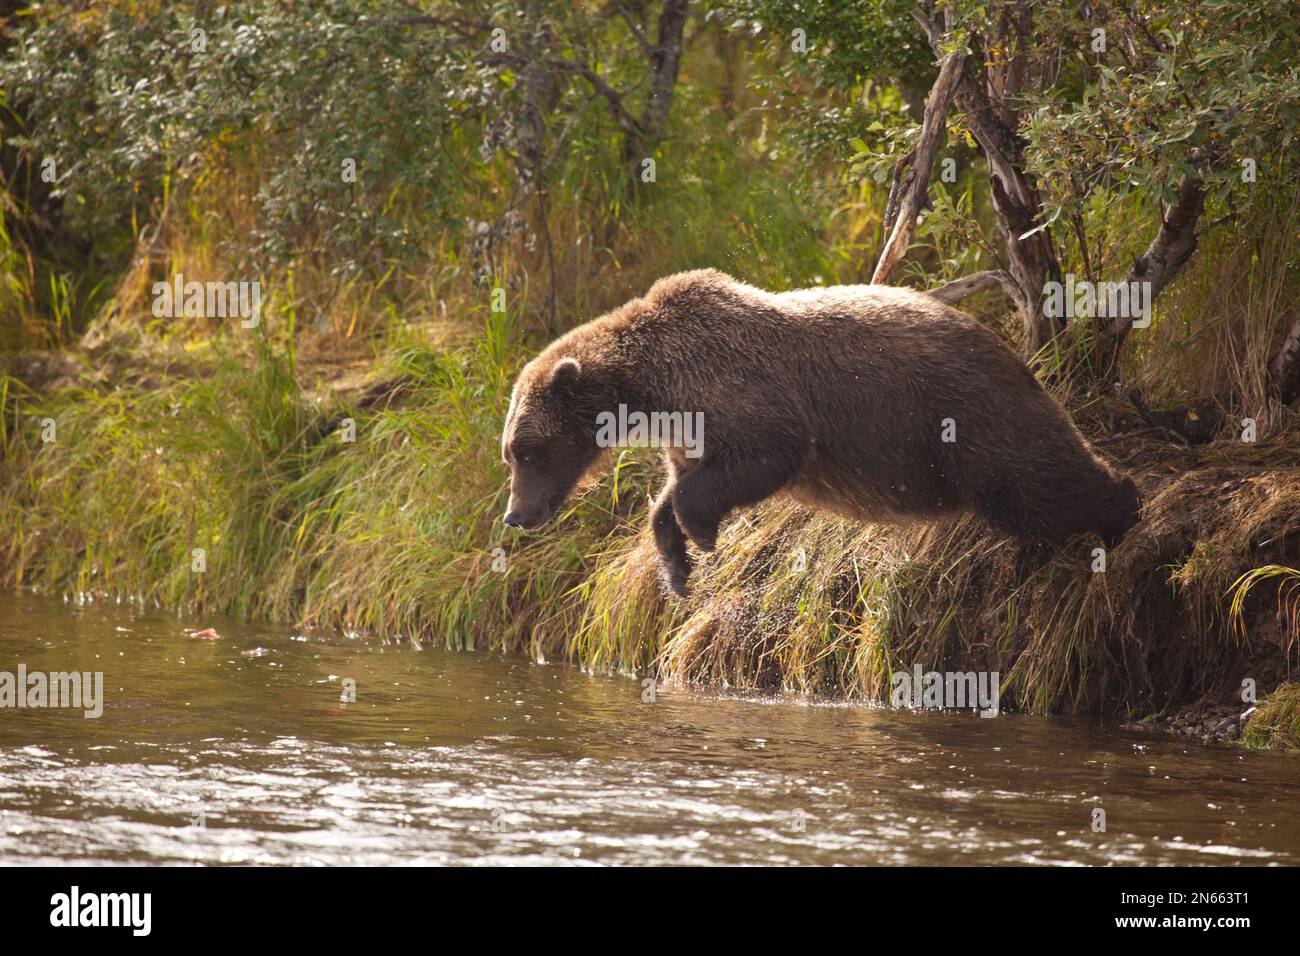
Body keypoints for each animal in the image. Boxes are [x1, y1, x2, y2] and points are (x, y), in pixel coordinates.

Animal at [501, 269, 1141, 596]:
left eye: (525, 451)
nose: (515, 515)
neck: (648, 386)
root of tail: (1008, 343)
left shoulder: (739, 392)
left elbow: (766, 453)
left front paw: (701, 535)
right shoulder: (683, 428)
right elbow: (672, 489)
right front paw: (676, 566)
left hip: (969, 418)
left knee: (1035, 484)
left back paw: (1124, 509)